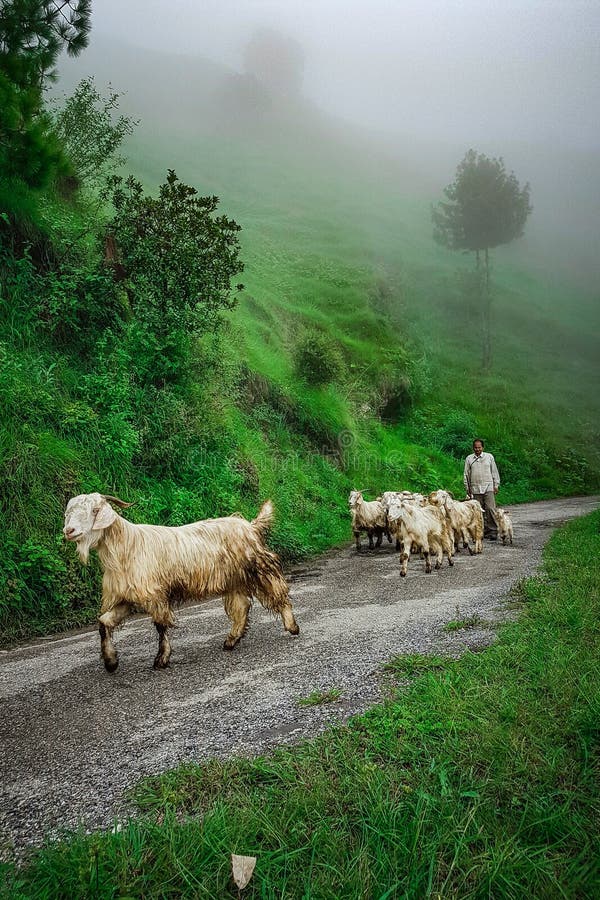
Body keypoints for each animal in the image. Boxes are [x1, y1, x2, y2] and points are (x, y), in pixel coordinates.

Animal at [63, 493, 299, 673]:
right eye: (69, 513)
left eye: (95, 510)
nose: (69, 531)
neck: (125, 547)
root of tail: (250, 526)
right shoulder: (126, 597)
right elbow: (104, 622)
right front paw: (111, 662)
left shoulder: (154, 594)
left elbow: (161, 625)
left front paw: (161, 659)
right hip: (234, 580)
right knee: (241, 607)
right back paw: (231, 641)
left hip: (258, 567)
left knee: (278, 592)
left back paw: (292, 626)